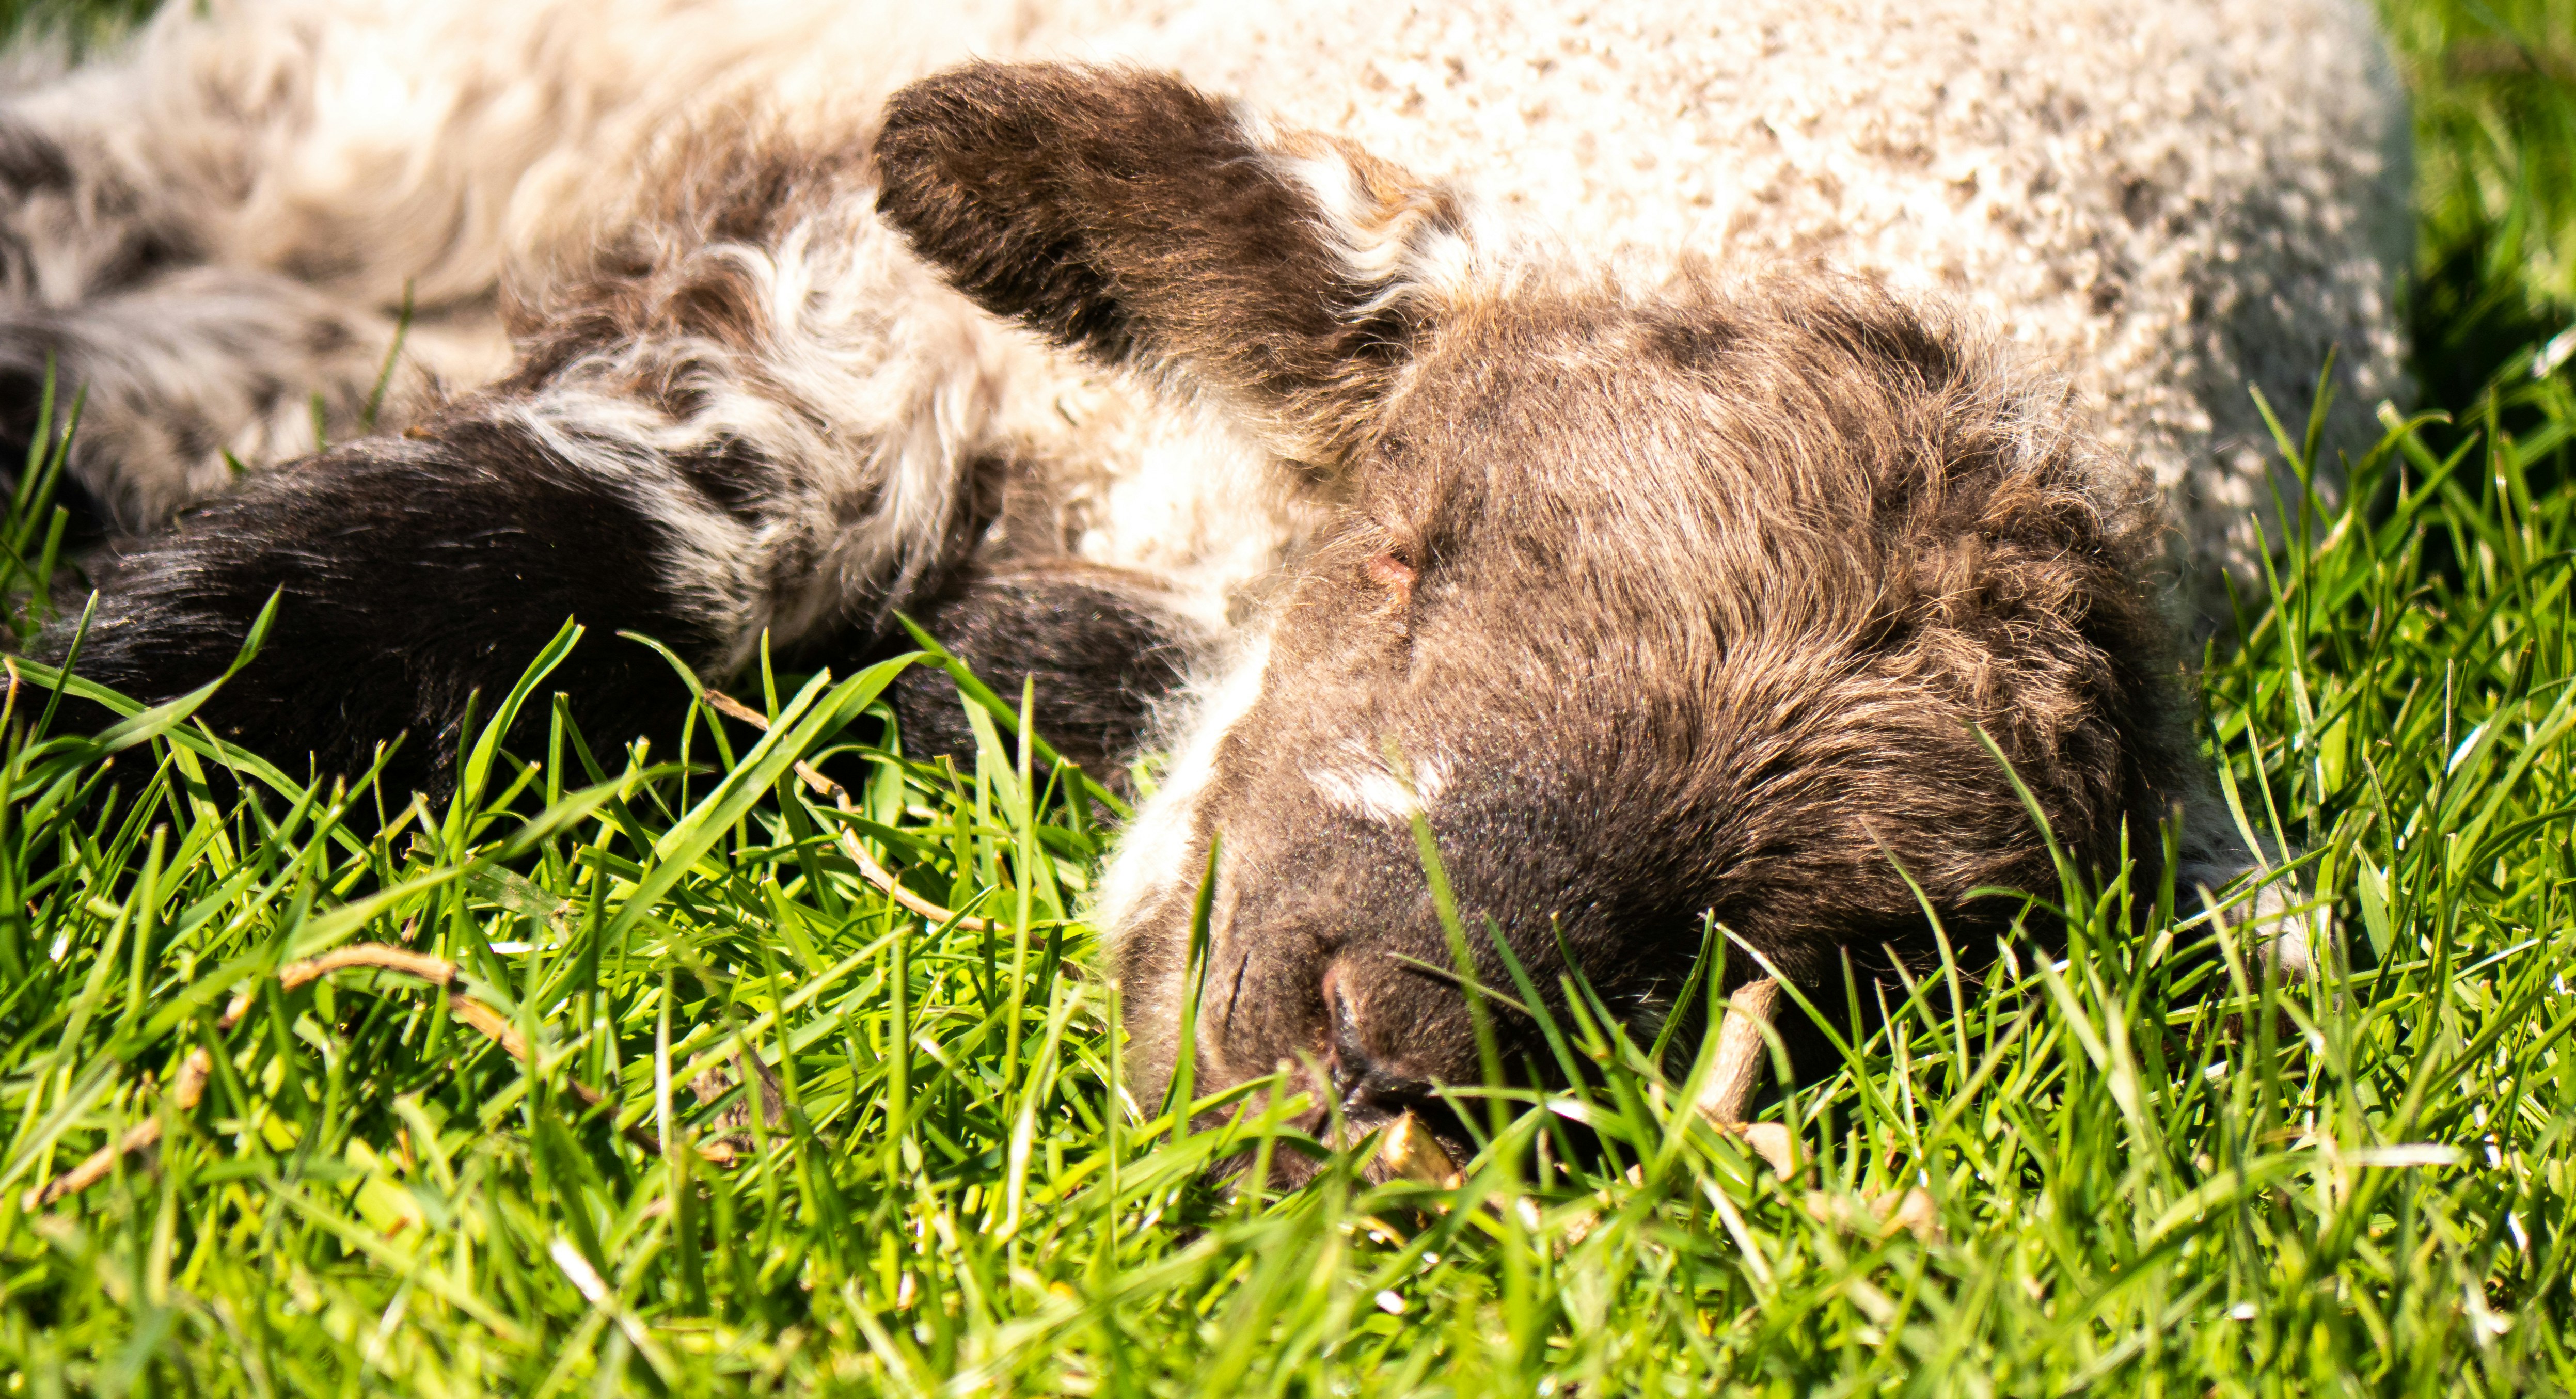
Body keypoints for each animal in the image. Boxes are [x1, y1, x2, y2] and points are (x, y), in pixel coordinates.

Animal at [0, 0, 2406, 1174]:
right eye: (1421, 541)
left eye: (1833, 942)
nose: (1366, 1054)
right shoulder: (861, 303)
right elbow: (626, 519)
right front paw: (108, 703)